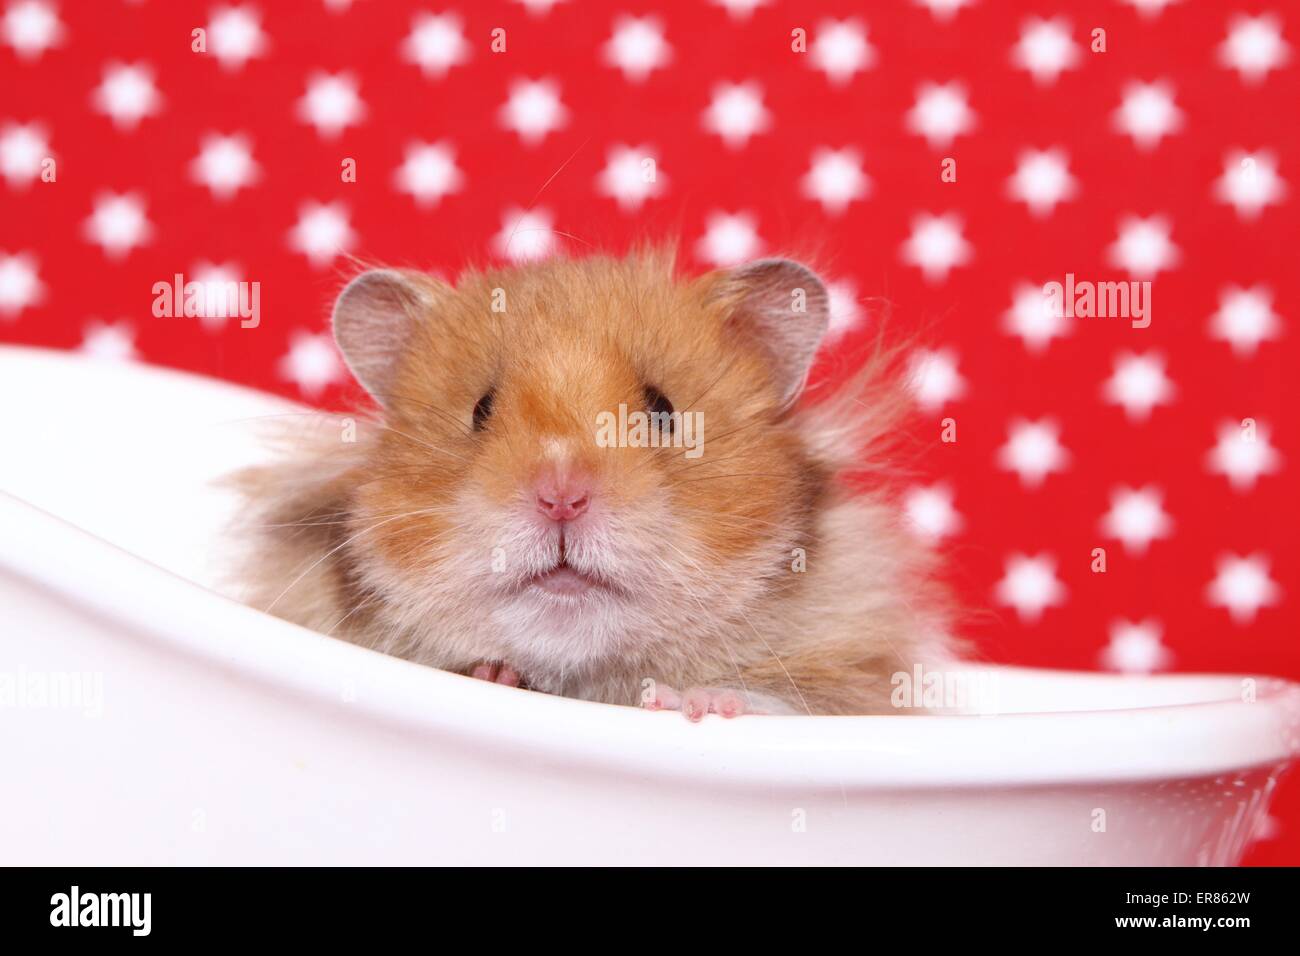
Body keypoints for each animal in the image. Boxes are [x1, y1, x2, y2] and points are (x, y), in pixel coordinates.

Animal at [232, 247, 957, 719]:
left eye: (664, 409)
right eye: (481, 410)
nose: (561, 497)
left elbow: (778, 699)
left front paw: (694, 703)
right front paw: (495, 676)